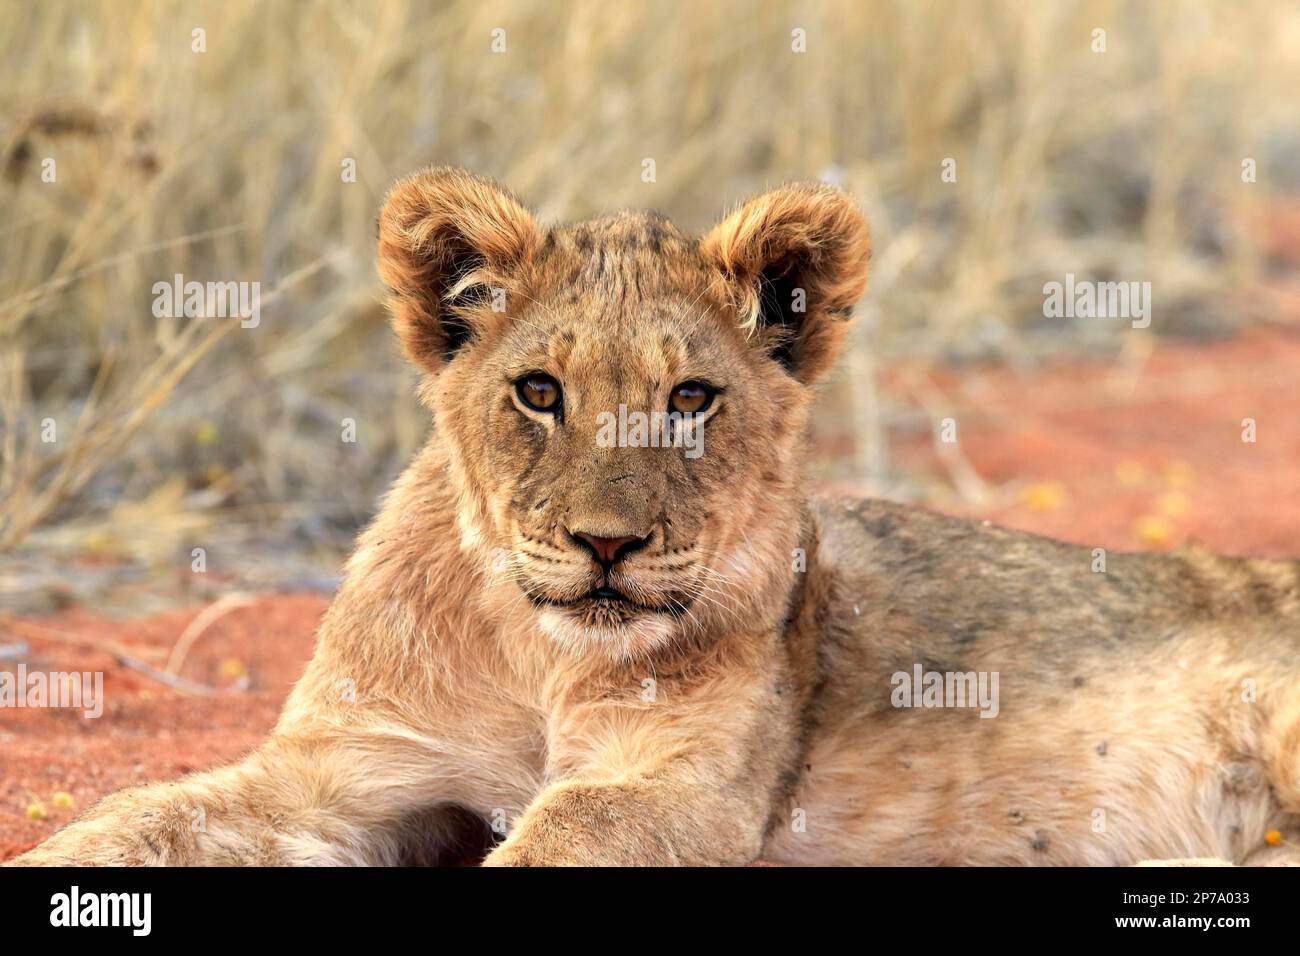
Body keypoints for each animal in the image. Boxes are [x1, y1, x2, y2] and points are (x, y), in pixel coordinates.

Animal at [11, 168, 1300, 866]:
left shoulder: (672, 787)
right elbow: (144, 815)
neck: (534, 653)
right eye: (539, 392)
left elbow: (559, 829)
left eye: (689, 400)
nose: (607, 546)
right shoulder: (348, 770)